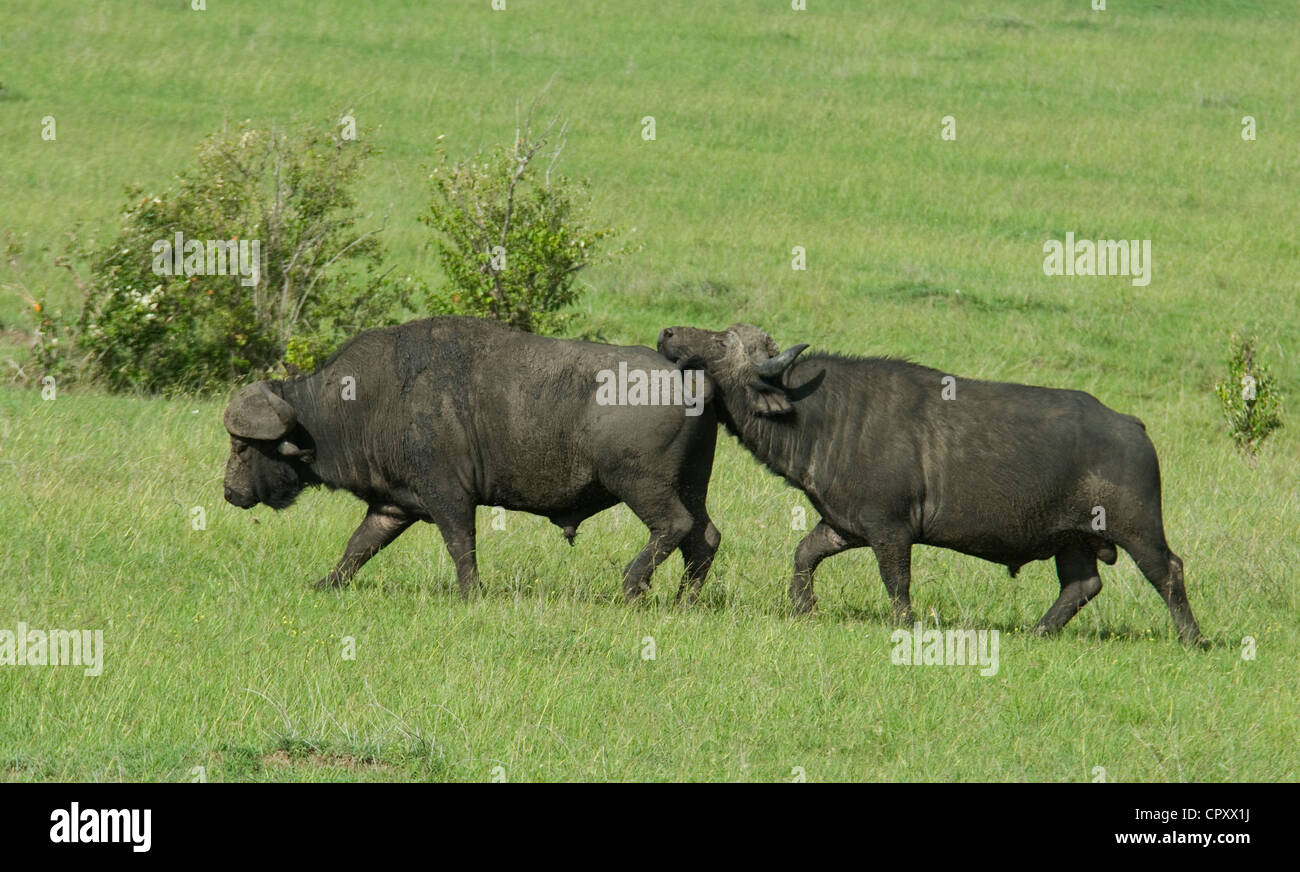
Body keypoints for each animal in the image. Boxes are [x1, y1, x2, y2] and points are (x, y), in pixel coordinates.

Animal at [222, 316, 720, 602]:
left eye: (242, 446)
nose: (229, 492)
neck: (363, 403)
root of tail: (684, 377)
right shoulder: (392, 506)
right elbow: (358, 546)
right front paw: (328, 584)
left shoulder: (448, 495)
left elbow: (460, 544)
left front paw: (469, 594)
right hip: (693, 486)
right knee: (704, 537)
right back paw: (685, 600)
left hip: (641, 485)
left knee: (673, 527)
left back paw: (632, 587)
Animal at [657, 323, 1202, 645]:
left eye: (722, 341)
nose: (667, 333)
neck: (821, 413)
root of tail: (1132, 426)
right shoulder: (844, 524)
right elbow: (804, 553)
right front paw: (802, 606)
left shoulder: (891, 529)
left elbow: (897, 582)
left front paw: (905, 625)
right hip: (1072, 540)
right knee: (1082, 585)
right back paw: (1036, 632)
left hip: (1137, 528)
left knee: (1168, 571)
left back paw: (1193, 639)